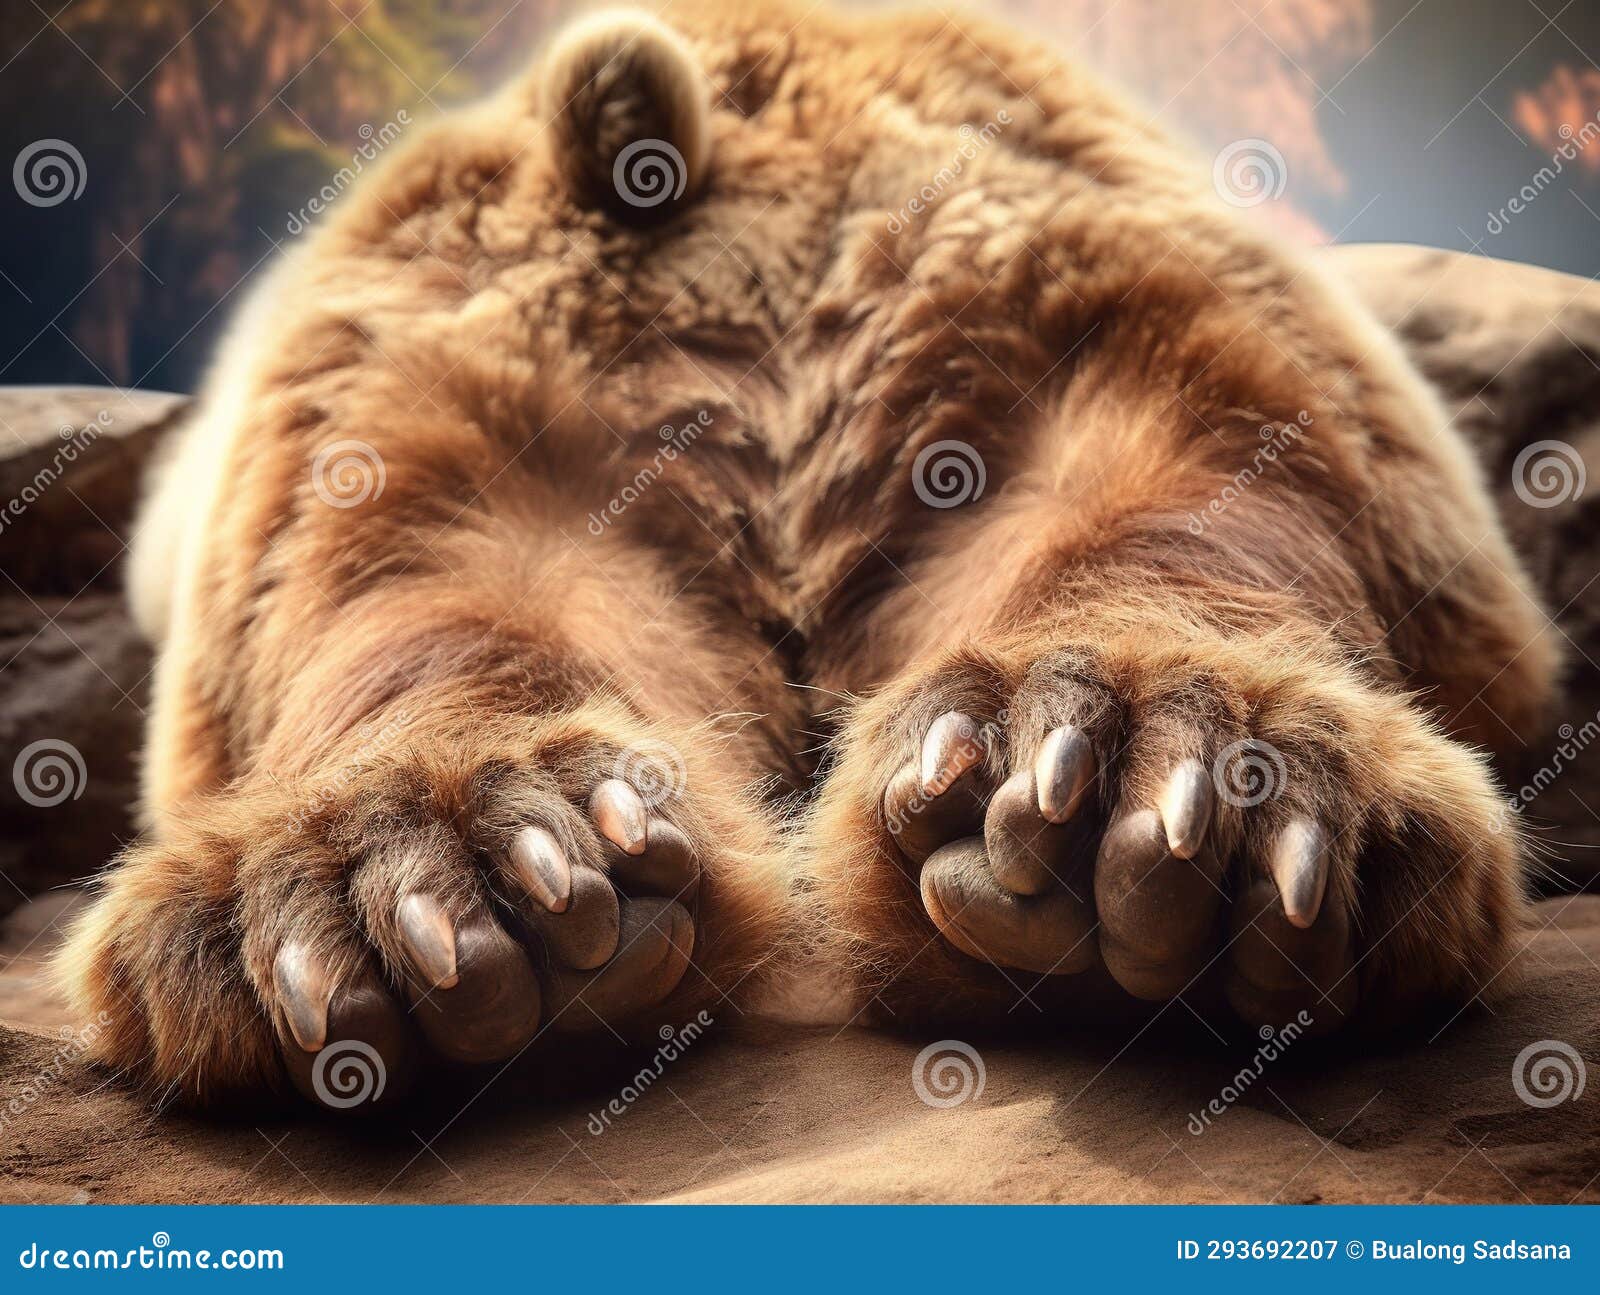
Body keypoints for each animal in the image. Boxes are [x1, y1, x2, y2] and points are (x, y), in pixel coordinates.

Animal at [55, 0, 1556, 1110]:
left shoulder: (1052, 309)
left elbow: (1181, 470)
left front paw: (1134, 781)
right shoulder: (469, 403)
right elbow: (435, 575)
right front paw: (445, 884)